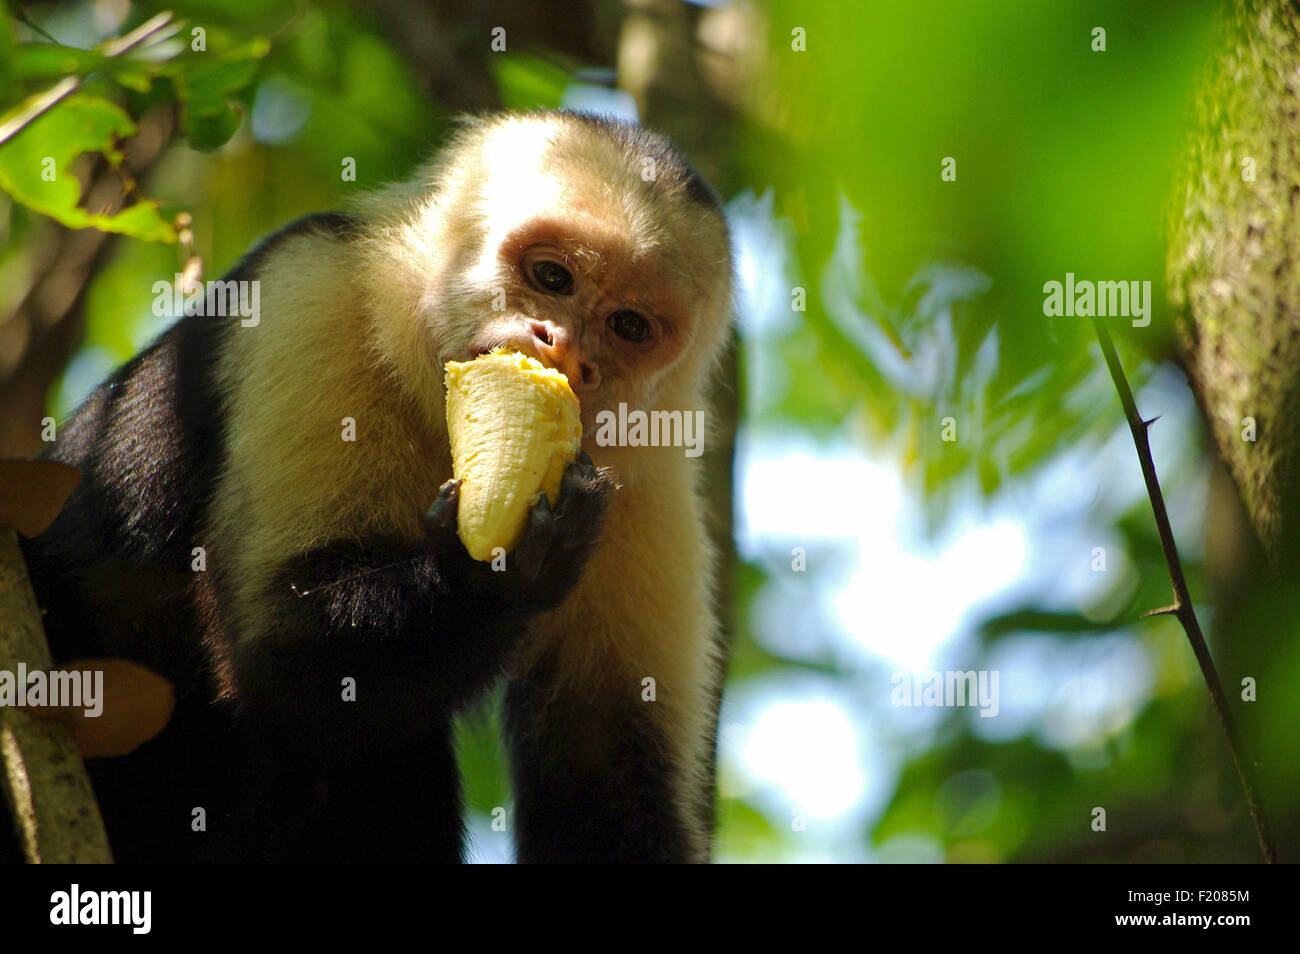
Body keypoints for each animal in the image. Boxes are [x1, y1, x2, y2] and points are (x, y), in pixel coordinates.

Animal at [15, 111, 734, 863]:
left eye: (629, 326)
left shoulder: (650, 480)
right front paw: (504, 568)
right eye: (551, 276)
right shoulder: (311, 293)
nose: (565, 349)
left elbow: (608, 784)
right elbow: (278, 659)